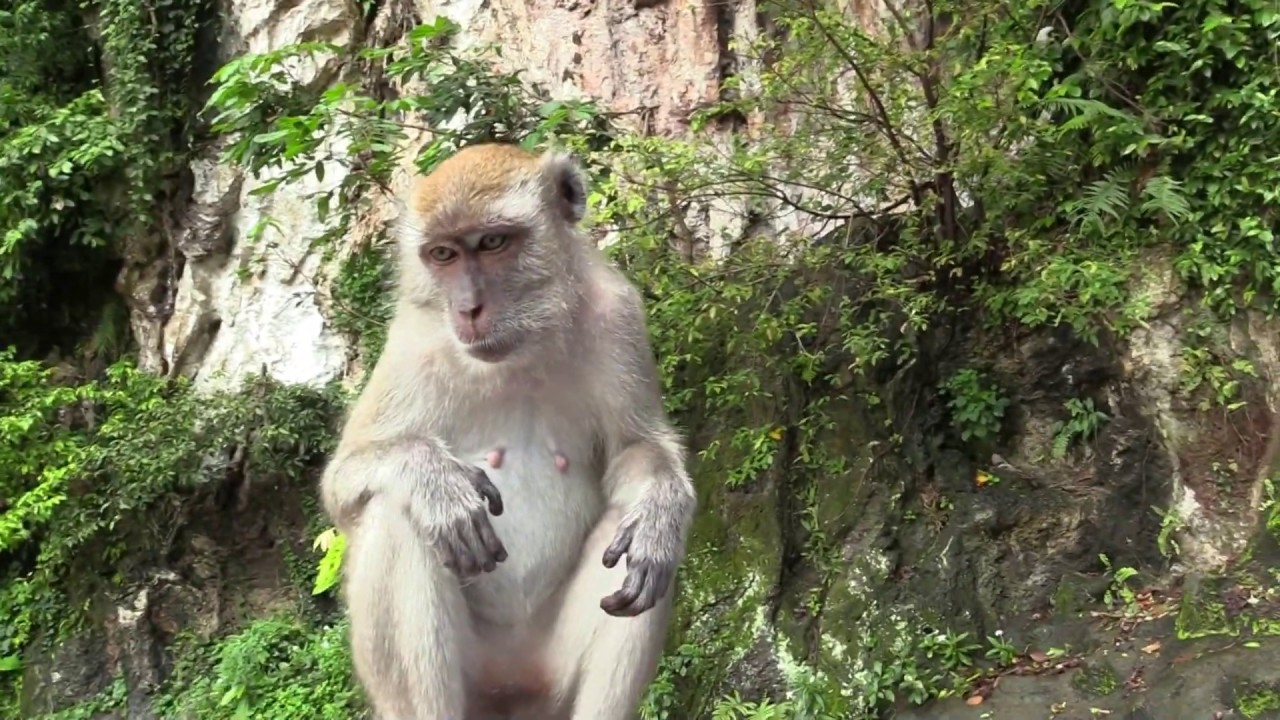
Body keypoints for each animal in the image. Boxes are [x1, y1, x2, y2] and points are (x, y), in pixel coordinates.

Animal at [320, 143, 698, 720]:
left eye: (492, 243)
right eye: (444, 255)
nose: (468, 308)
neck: (521, 348)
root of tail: (514, 692)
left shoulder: (619, 316)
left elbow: (637, 449)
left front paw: (660, 511)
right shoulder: (414, 341)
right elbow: (343, 480)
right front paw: (435, 481)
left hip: (549, 677)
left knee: (630, 533)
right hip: (475, 680)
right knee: (394, 515)